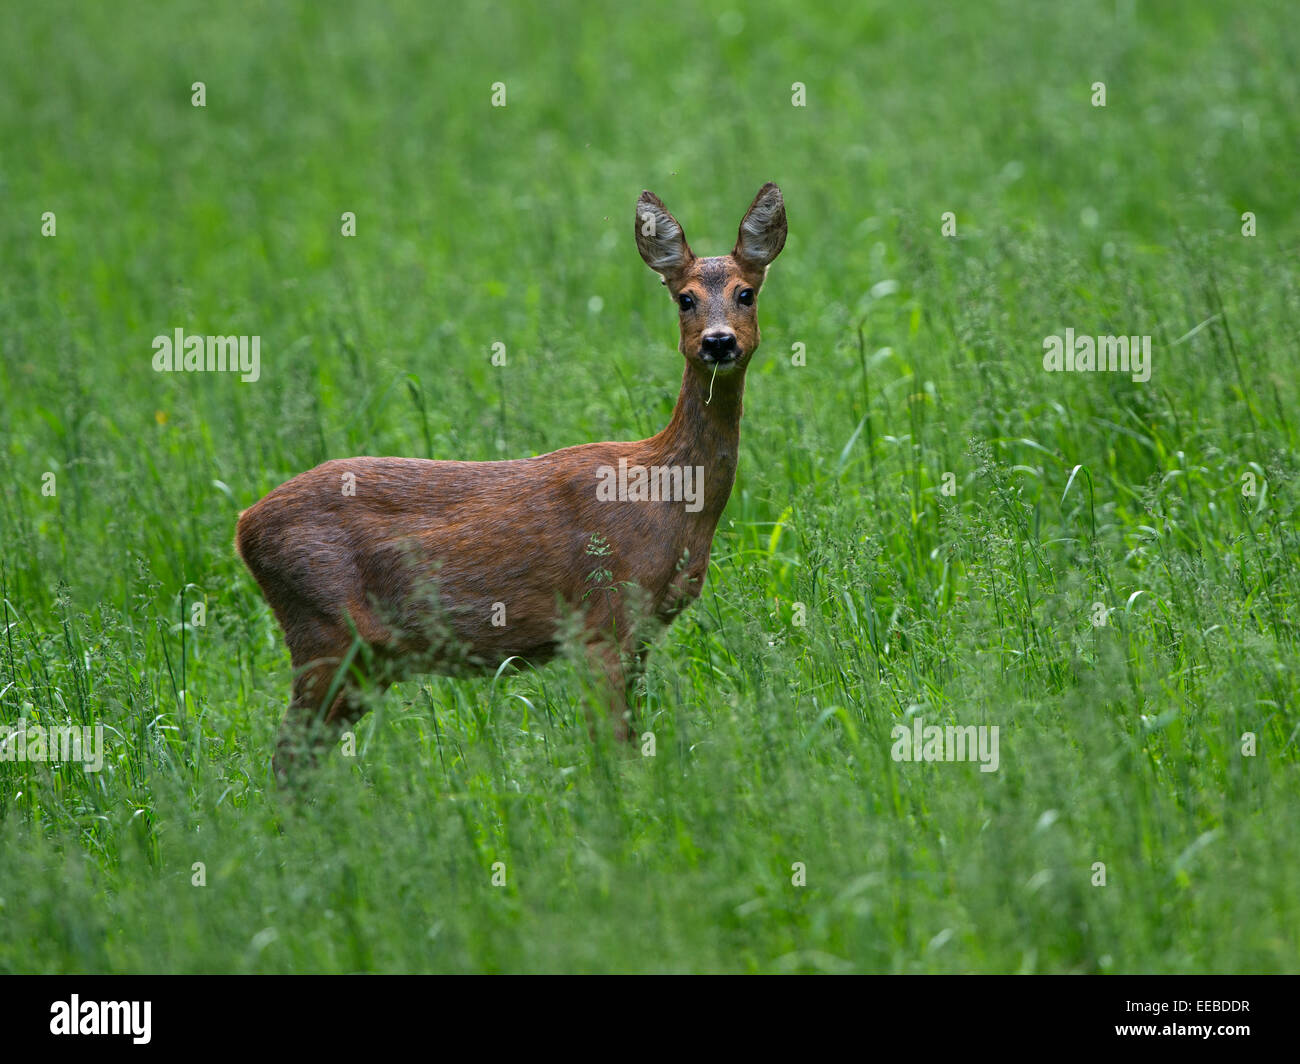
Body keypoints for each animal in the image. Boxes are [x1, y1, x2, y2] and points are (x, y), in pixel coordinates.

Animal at [235, 183, 787, 781]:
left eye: (746, 293)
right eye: (684, 298)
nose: (718, 342)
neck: (667, 495)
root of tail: (244, 527)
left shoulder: (639, 633)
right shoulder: (602, 618)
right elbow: (610, 747)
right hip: (325, 628)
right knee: (286, 757)